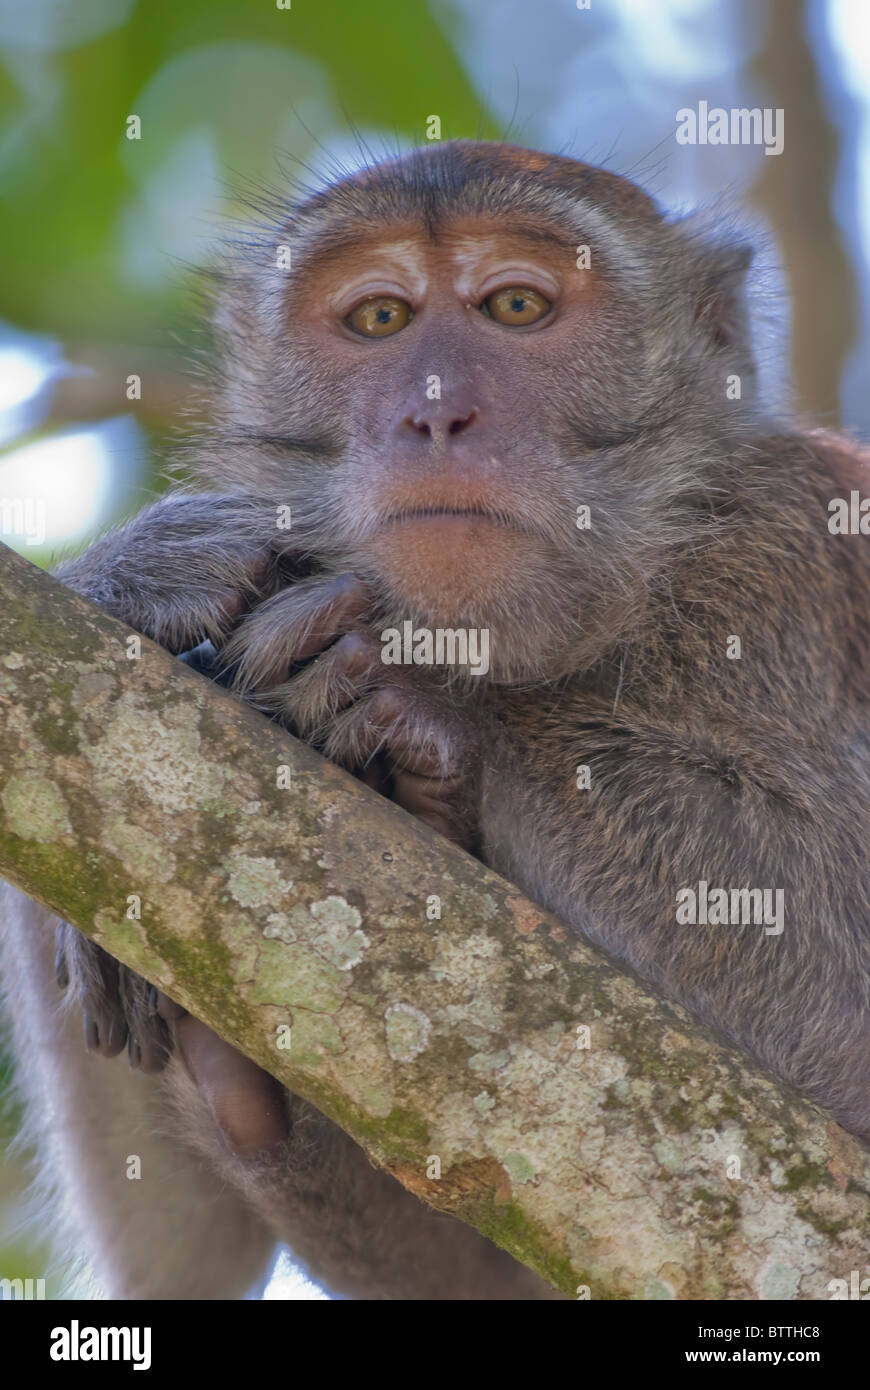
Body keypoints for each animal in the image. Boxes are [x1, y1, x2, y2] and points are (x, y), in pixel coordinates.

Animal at [1, 139, 869, 1301]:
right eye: (380, 319)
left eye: (515, 305)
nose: (436, 413)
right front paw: (131, 579)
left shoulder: (782, 574)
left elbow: (836, 1017)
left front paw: (425, 706)